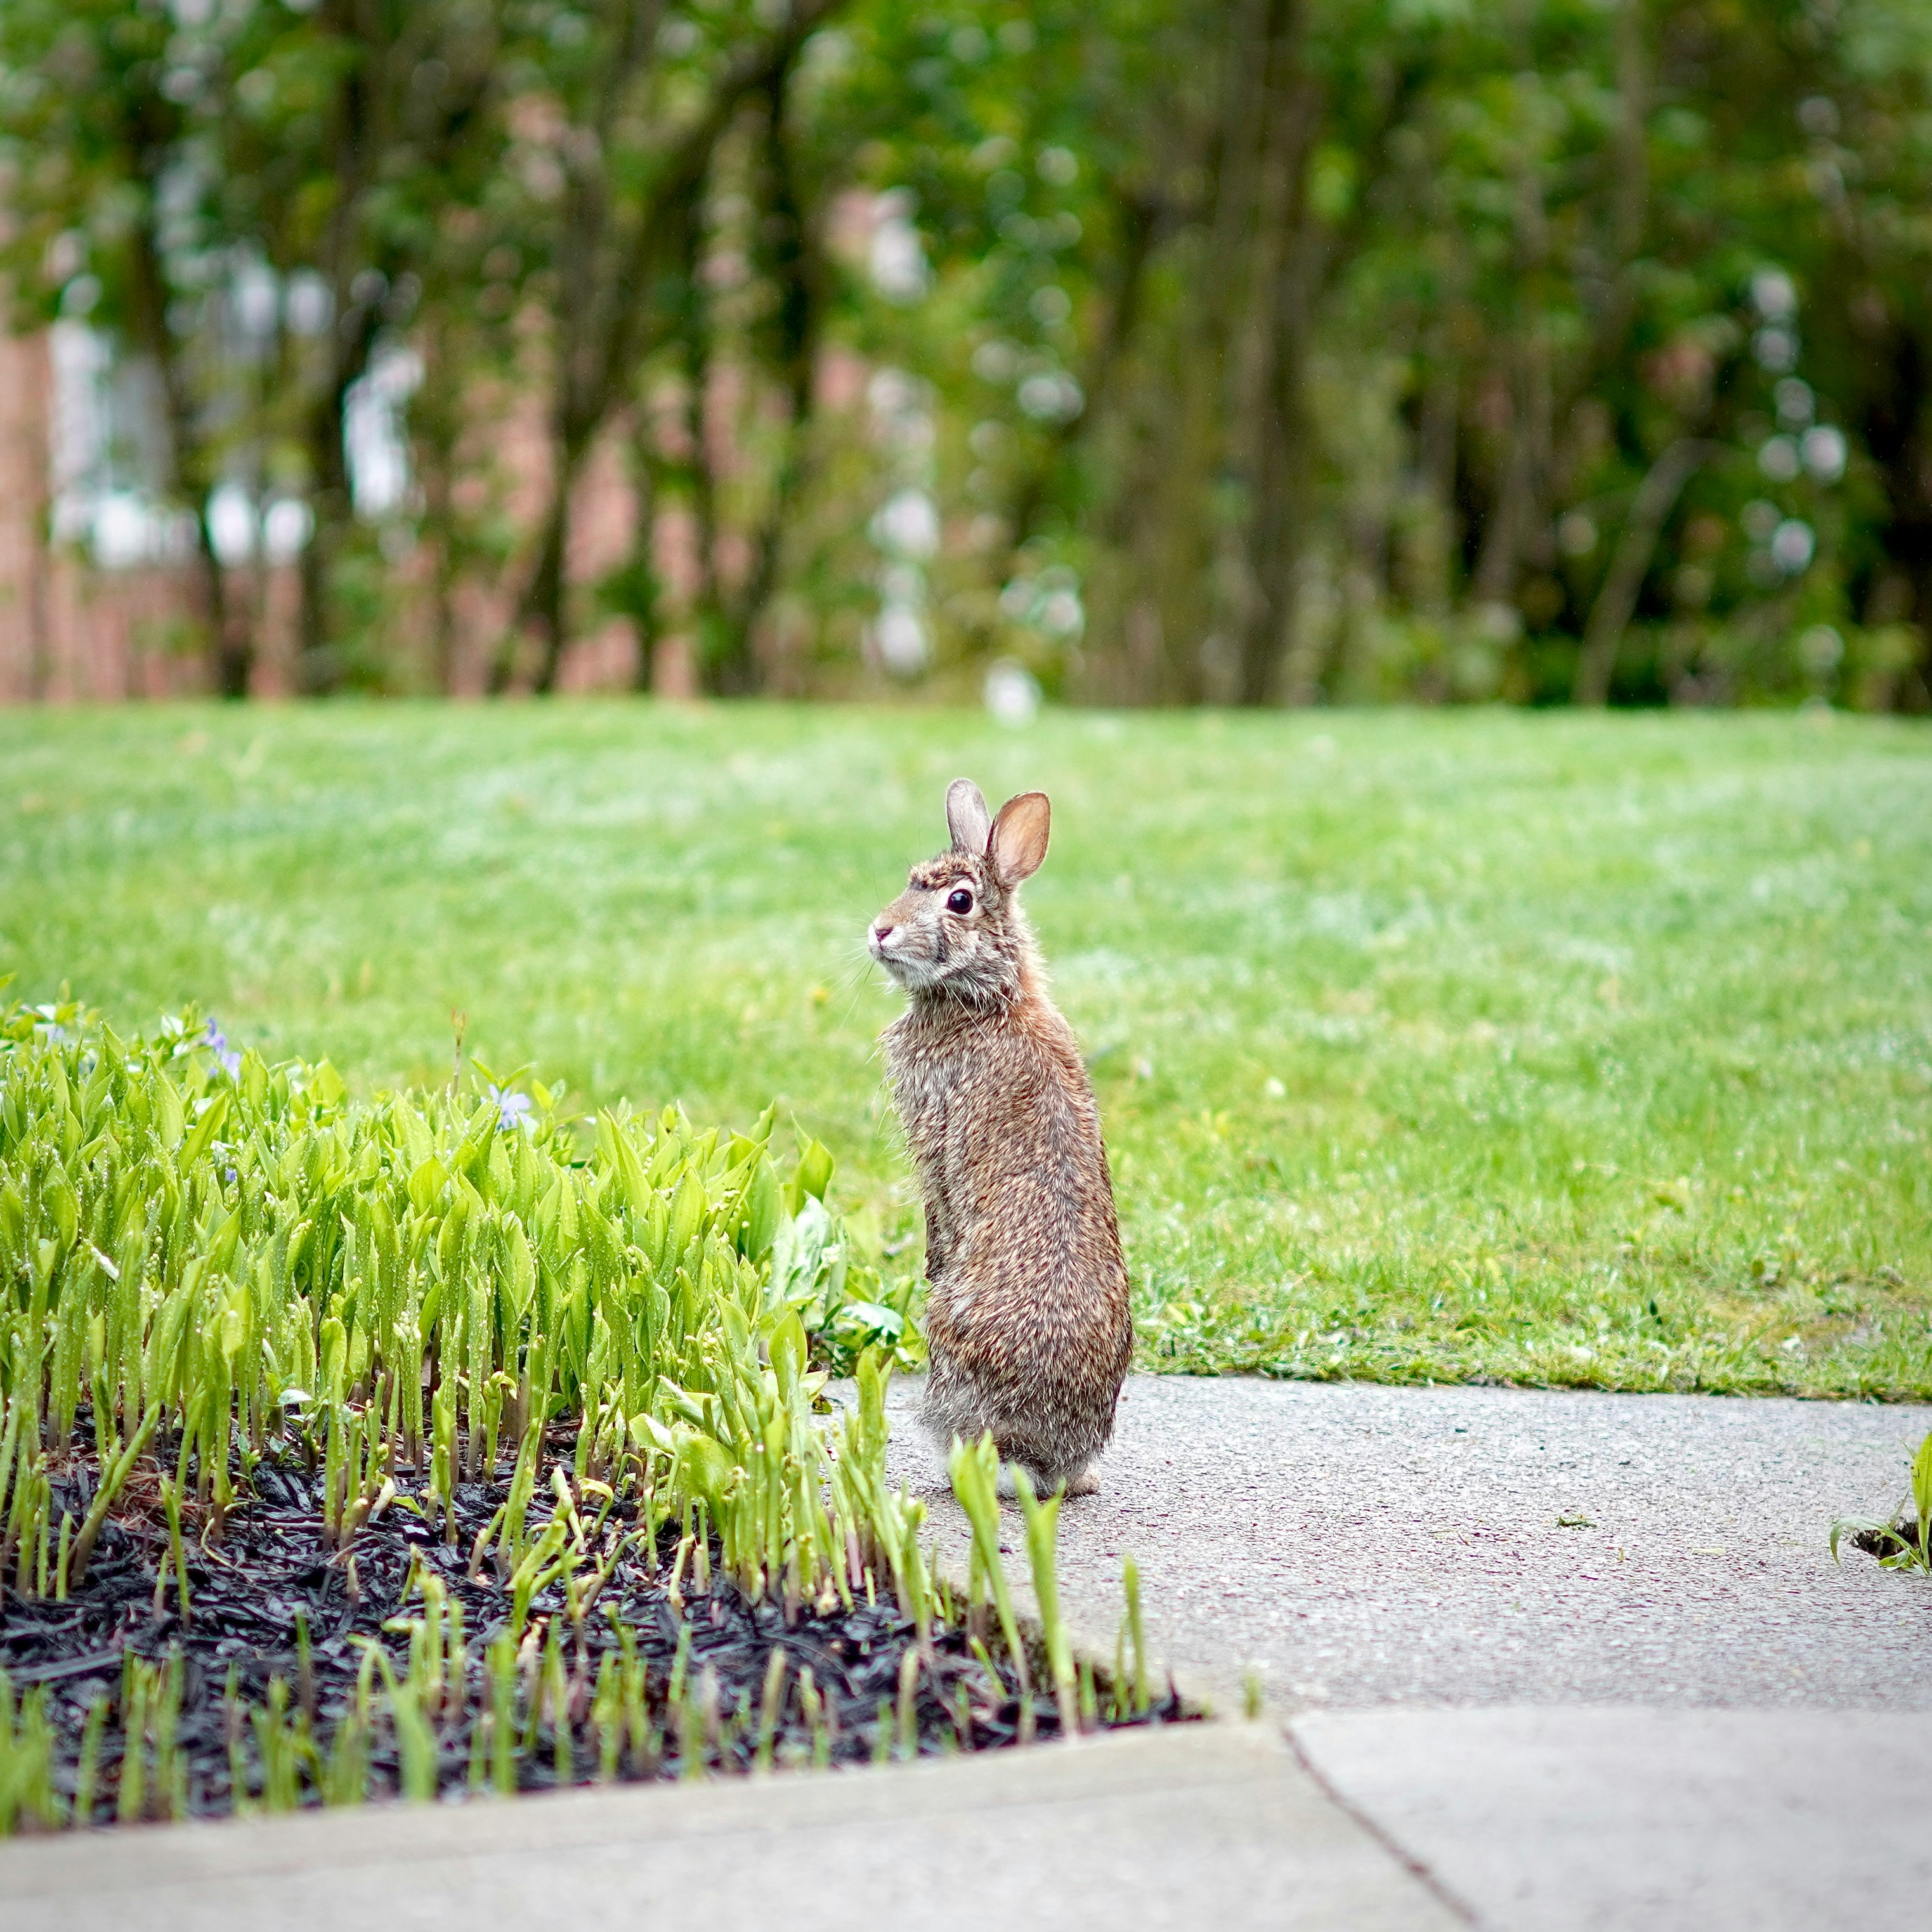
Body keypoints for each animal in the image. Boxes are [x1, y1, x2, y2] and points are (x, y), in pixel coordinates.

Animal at [865, 780, 1128, 1491]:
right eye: (910, 880)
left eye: (959, 901)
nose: (879, 930)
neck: (984, 995)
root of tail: (1037, 1455)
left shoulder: (932, 1137)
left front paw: (932, 1262)